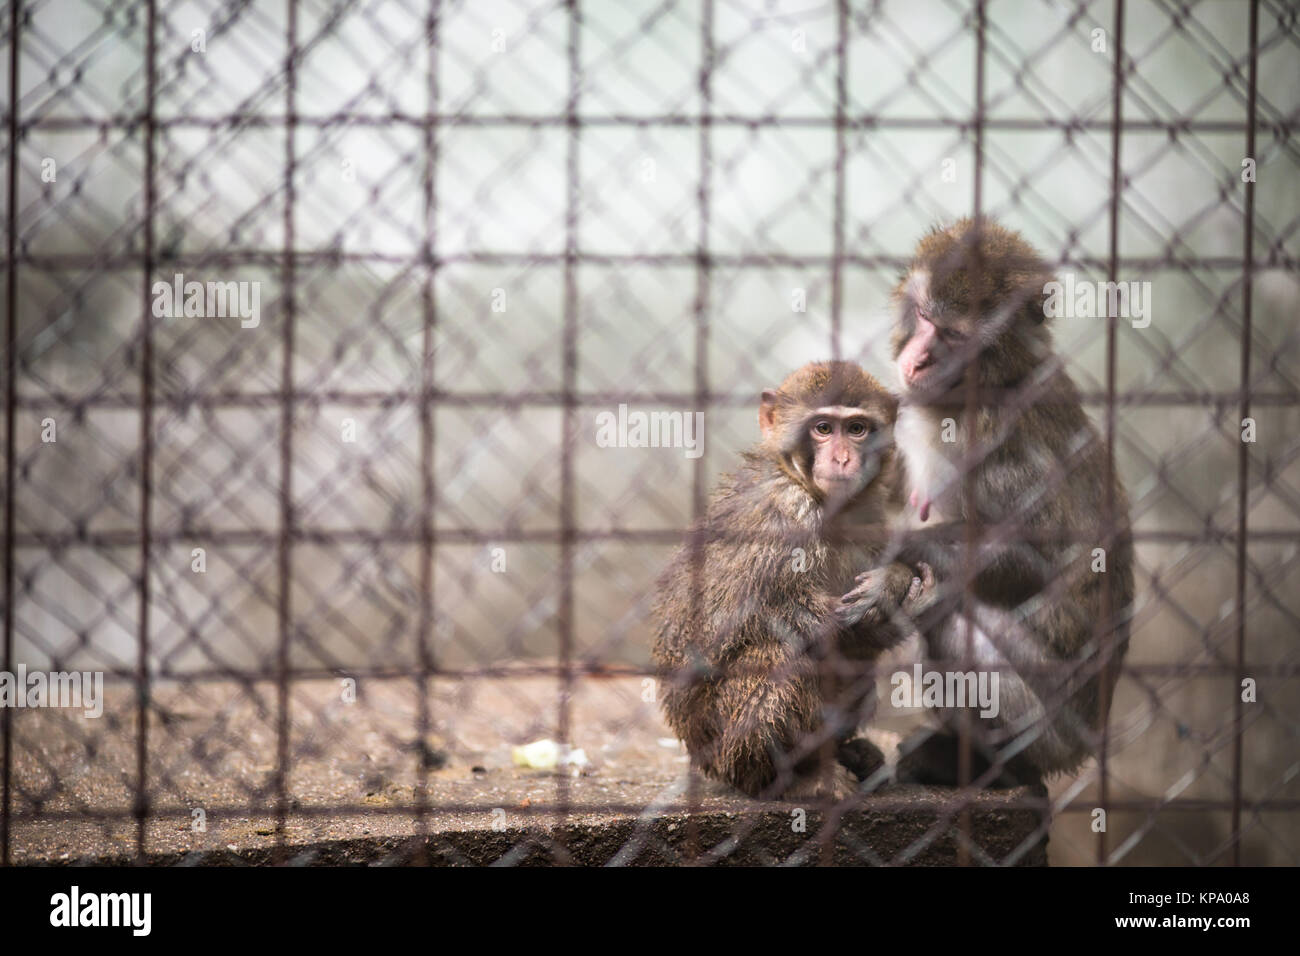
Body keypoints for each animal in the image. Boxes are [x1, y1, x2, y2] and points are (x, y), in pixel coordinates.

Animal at [652, 361, 930, 801]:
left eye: (857, 429)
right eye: (822, 428)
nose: (842, 458)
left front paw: (894, 581)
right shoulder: (784, 514)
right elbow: (776, 620)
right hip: (725, 747)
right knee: (781, 656)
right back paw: (796, 777)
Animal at [864, 217, 1135, 788]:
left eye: (952, 336)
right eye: (923, 317)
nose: (917, 359)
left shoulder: (994, 441)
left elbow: (1035, 555)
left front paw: (892, 556)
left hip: (1050, 728)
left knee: (948, 617)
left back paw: (994, 766)